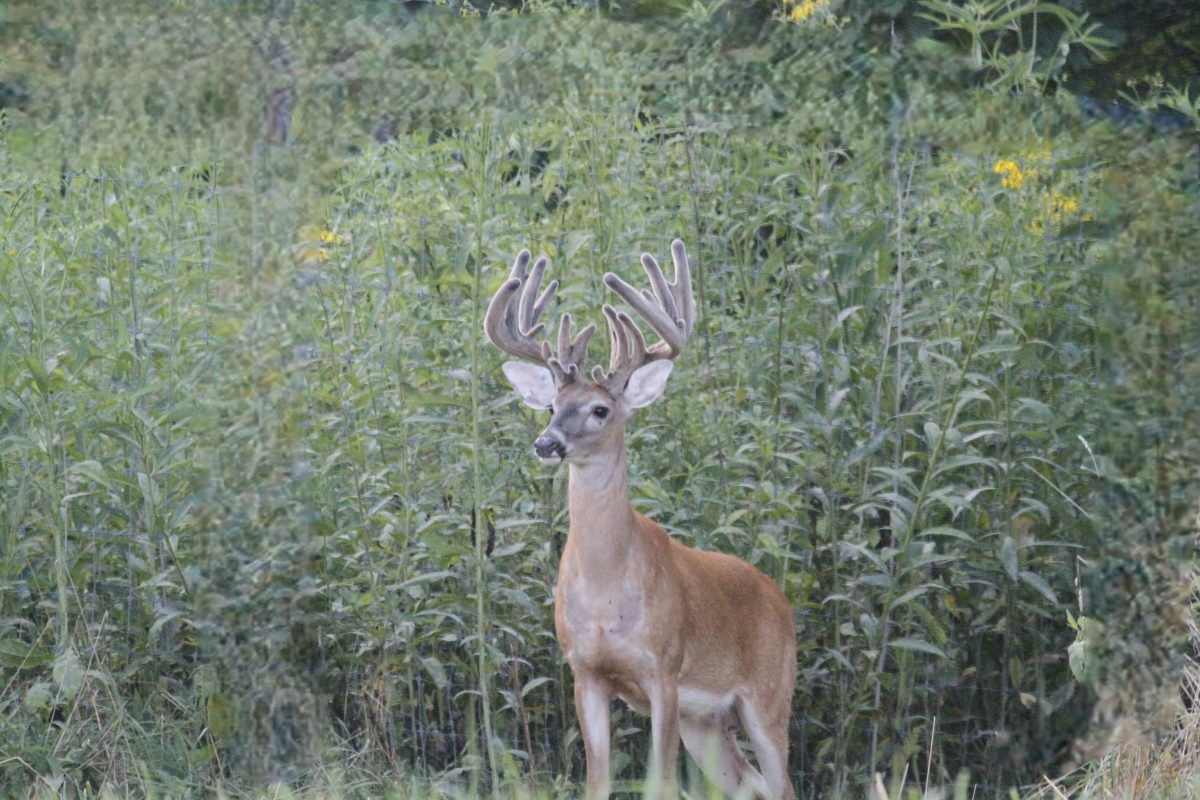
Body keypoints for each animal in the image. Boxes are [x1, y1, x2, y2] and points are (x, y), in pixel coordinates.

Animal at [484, 240, 796, 799]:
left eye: (601, 409)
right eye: (551, 405)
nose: (547, 443)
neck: (606, 596)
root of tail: (780, 600)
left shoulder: (664, 670)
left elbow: (663, 782)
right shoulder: (584, 671)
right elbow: (597, 781)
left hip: (769, 694)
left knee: (781, 783)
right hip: (708, 721)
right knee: (749, 783)